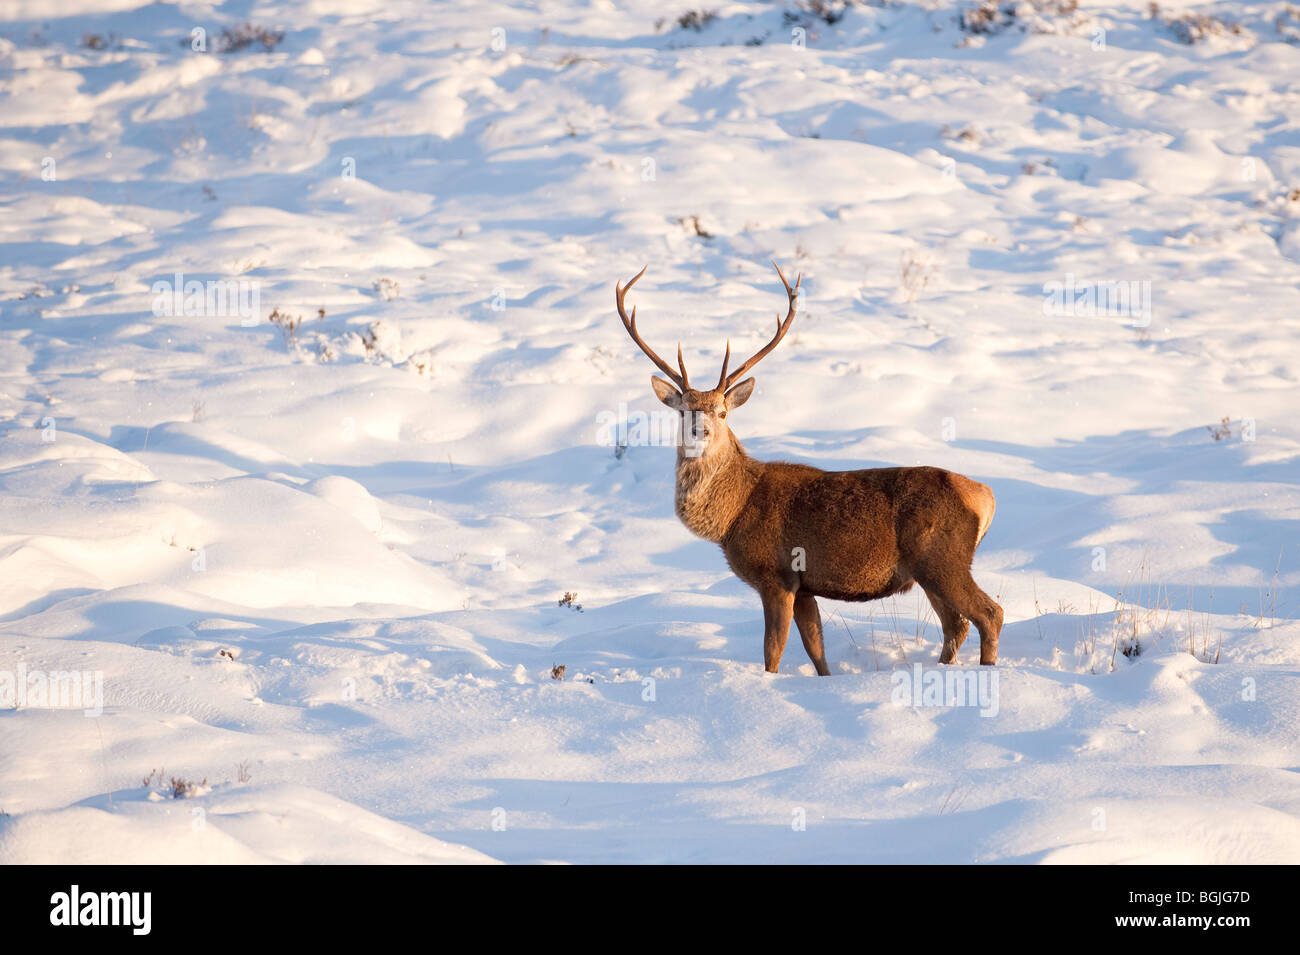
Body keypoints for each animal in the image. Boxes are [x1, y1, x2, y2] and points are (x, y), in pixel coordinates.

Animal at [614, 263, 1002, 676]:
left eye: (722, 412)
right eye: (683, 409)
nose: (700, 430)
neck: (733, 515)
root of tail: (984, 495)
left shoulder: (778, 575)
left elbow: (773, 651)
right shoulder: (805, 588)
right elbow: (816, 650)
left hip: (942, 557)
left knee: (989, 614)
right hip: (930, 570)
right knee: (956, 626)